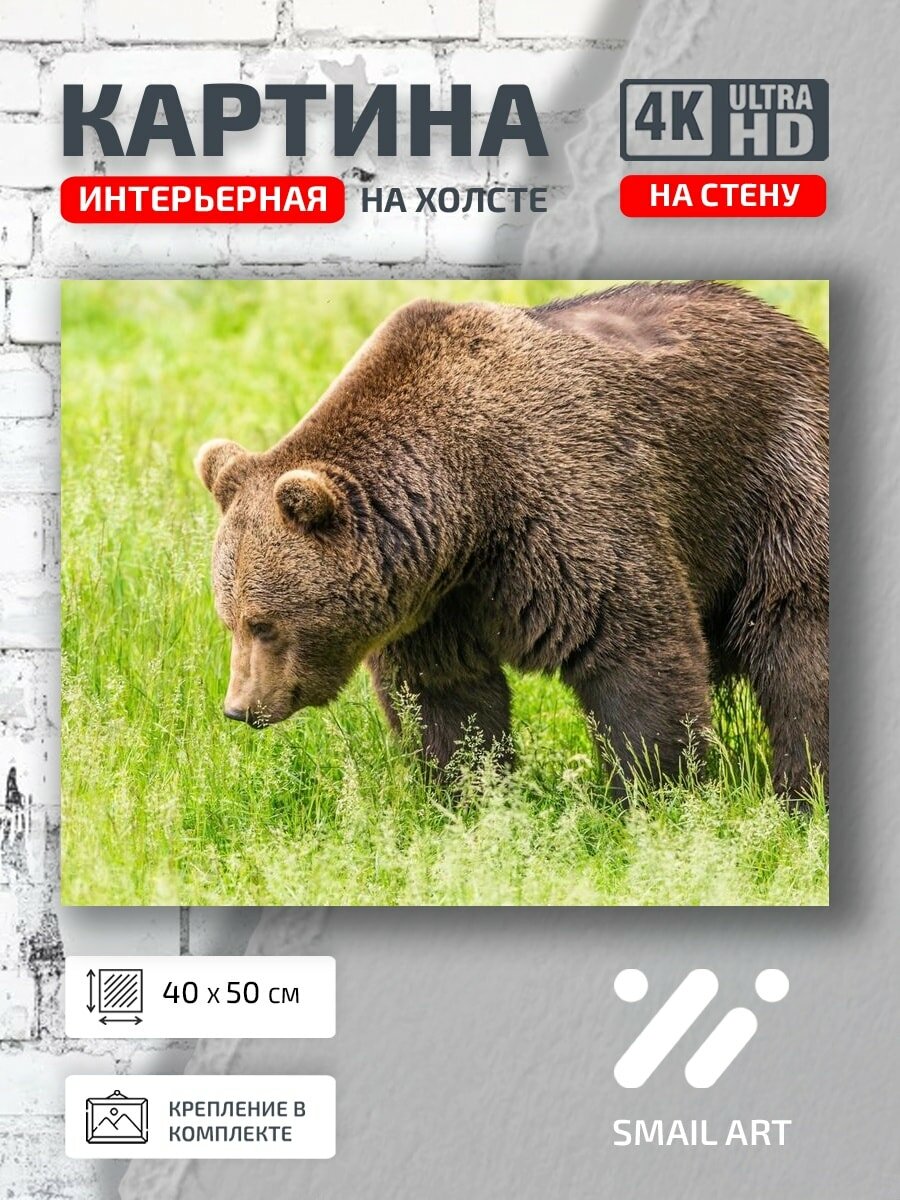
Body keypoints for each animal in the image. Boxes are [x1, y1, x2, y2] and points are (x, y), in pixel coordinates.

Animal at [196, 282, 829, 800]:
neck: (467, 504)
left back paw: (801, 790)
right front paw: (466, 795)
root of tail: (798, 332)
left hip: (776, 481)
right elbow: (446, 698)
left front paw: (655, 790)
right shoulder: (436, 600)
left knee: (796, 638)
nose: (240, 708)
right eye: (228, 620)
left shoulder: (568, 501)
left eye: (263, 623)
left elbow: (637, 648)